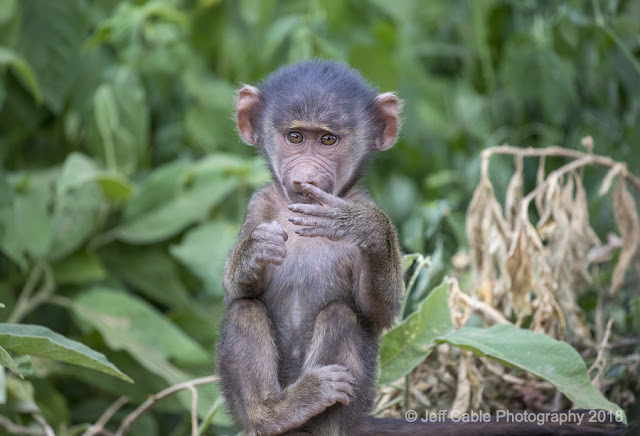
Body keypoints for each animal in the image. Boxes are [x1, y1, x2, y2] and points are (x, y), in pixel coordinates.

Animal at [216, 60, 627, 436]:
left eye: (328, 140)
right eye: (296, 137)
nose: (306, 179)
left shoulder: (363, 204)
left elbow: (376, 313)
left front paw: (363, 228)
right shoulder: (260, 205)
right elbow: (239, 289)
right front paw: (256, 249)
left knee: (341, 315)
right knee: (245, 309)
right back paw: (272, 414)